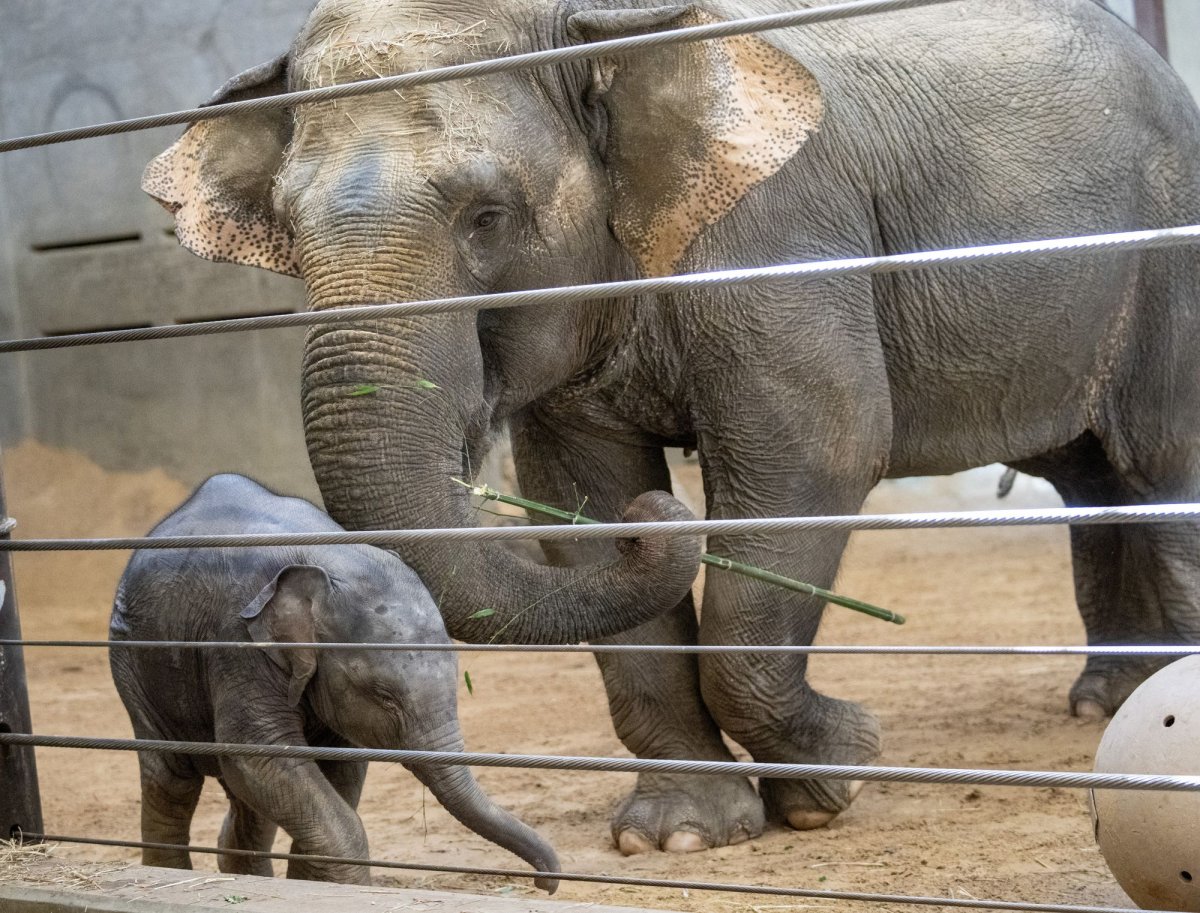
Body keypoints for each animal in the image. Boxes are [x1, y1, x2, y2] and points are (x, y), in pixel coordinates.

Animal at [109, 474, 560, 889]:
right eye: (384, 696)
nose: (546, 882)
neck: (329, 561)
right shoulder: (236, 646)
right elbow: (259, 755)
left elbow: (335, 767)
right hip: (132, 660)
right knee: (172, 778)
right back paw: (167, 872)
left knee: (245, 800)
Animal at [143, 0, 1200, 854]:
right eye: (286, 225)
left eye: (488, 217)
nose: (666, 512)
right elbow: (581, 496)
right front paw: (681, 835)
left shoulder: (777, 236)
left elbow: (819, 454)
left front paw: (838, 776)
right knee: (1097, 480)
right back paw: (1110, 700)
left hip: (1166, 242)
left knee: (1160, 461)